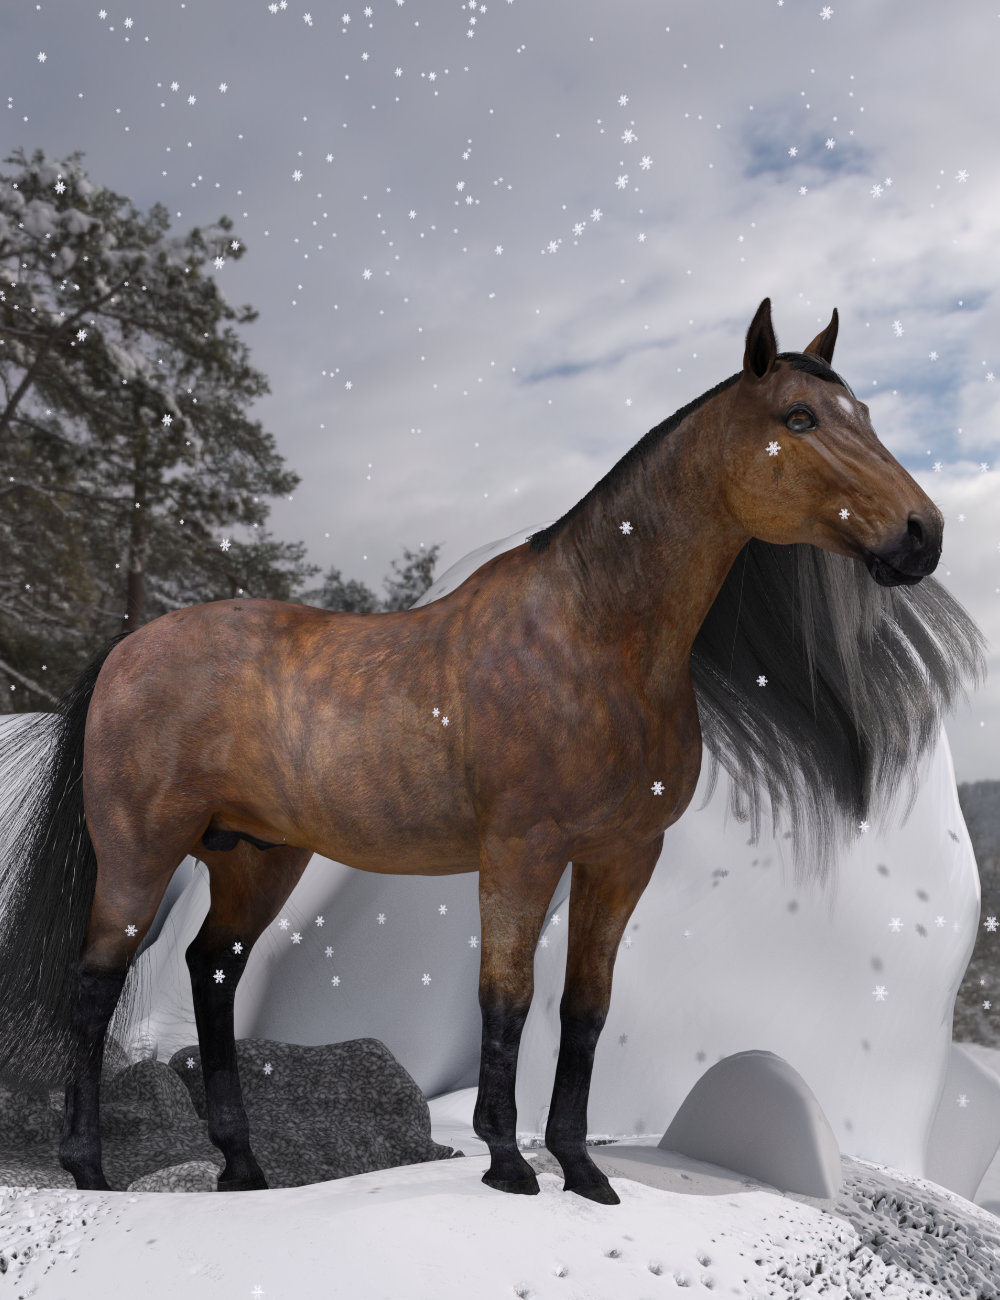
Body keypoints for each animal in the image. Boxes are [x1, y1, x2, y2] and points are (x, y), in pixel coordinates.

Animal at [0, 298, 986, 1205]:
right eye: (799, 418)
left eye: (865, 413)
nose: (924, 535)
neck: (594, 635)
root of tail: (129, 647)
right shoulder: (521, 849)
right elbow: (506, 996)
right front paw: (508, 1164)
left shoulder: (624, 855)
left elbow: (585, 1009)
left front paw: (584, 1171)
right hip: (141, 852)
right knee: (97, 983)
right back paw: (88, 1169)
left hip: (258, 858)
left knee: (212, 971)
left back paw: (244, 1169)